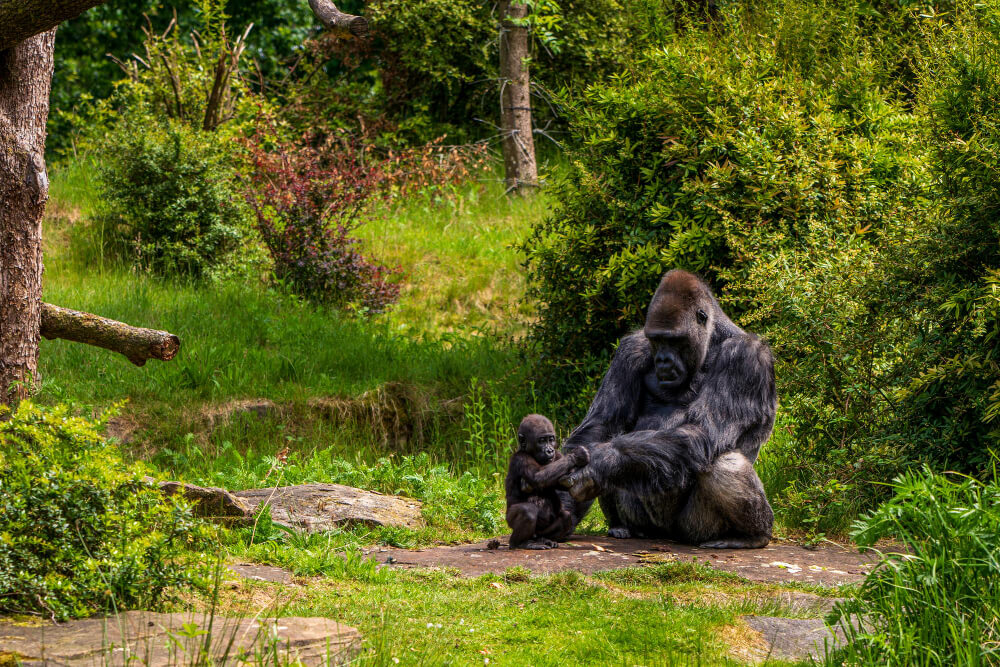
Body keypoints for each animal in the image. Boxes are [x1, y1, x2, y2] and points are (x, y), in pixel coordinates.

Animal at [505, 414, 589, 550]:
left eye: (551, 439)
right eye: (541, 441)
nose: (549, 450)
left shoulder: (557, 455)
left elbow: (565, 481)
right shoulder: (520, 458)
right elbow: (538, 476)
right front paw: (577, 455)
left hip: (540, 532)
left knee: (566, 517)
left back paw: (544, 539)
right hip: (509, 521)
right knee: (527, 511)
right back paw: (521, 543)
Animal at [560, 269, 776, 549]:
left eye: (673, 340)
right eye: (656, 339)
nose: (662, 360)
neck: (712, 341)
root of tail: (666, 535)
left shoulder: (746, 356)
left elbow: (702, 432)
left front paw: (604, 460)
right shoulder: (630, 349)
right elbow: (601, 424)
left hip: (694, 528)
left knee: (725, 463)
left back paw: (751, 535)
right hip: (646, 523)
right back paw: (622, 526)